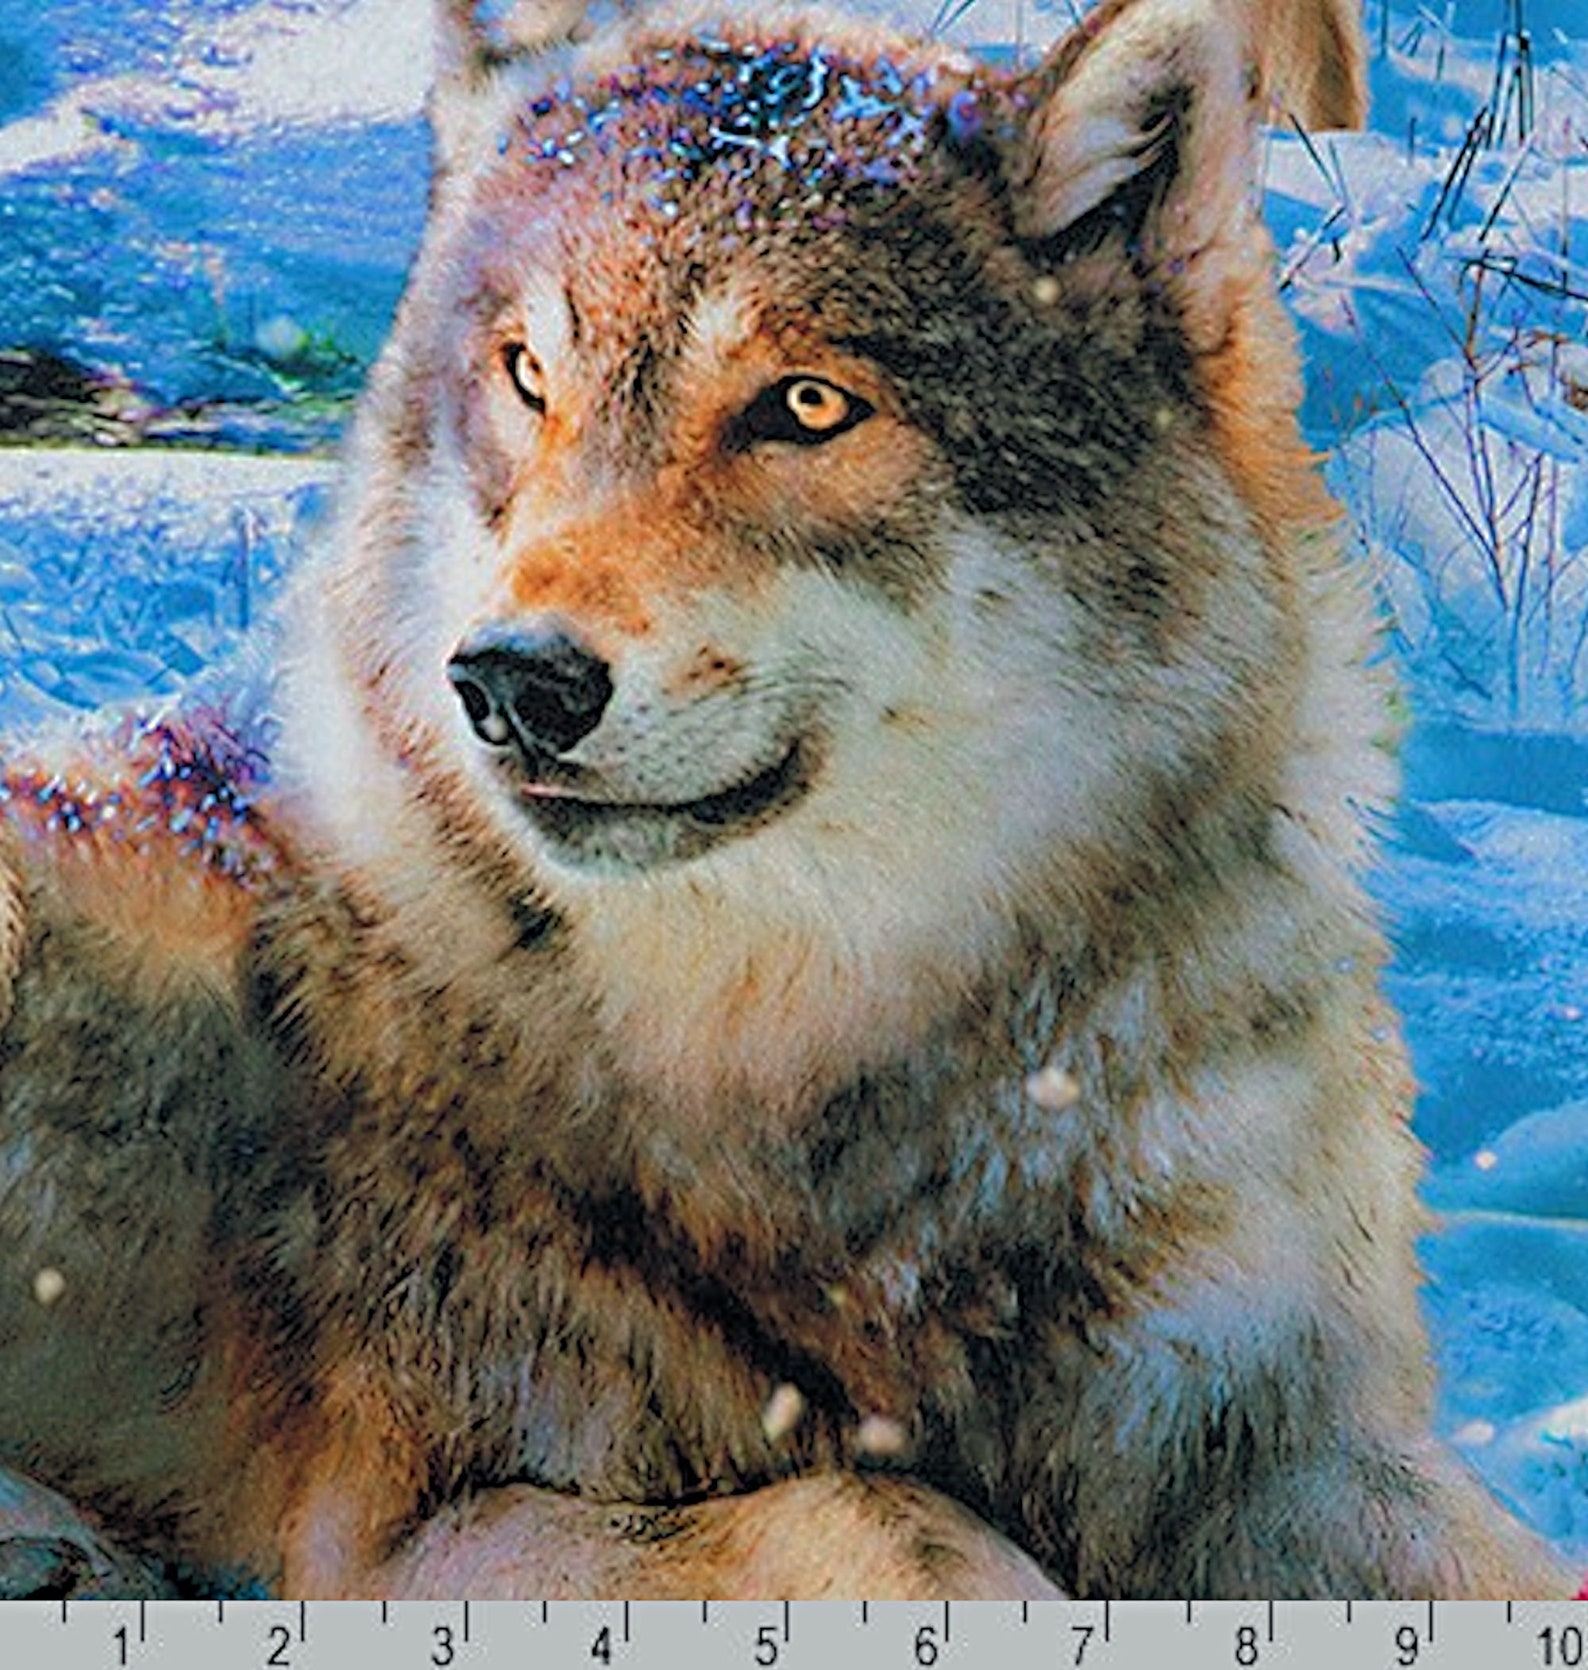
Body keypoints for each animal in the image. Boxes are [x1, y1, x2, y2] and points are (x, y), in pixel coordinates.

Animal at [0, 0, 1572, 1600]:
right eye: (528, 376)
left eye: (806, 405)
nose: (509, 680)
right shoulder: (404, 1530)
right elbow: (901, 1518)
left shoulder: (1287, 1435)